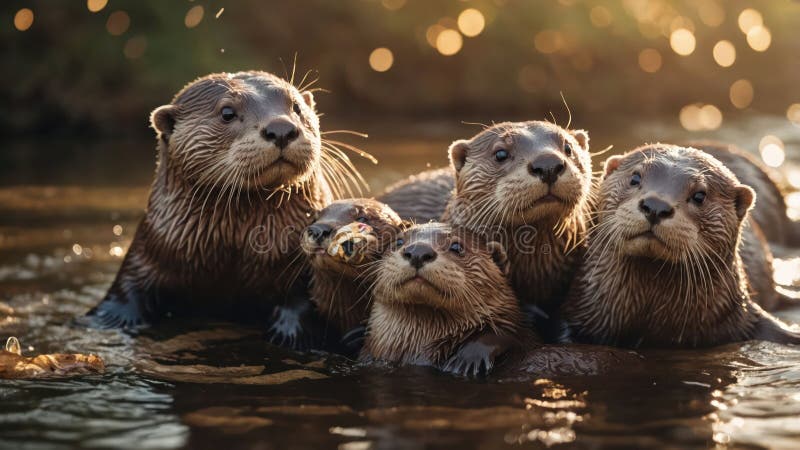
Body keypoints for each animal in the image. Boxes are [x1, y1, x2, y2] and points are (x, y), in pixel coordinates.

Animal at [88, 71, 363, 349]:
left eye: (296, 107)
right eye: (227, 112)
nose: (281, 129)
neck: (232, 255)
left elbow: (303, 302)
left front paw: (291, 334)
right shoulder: (147, 253)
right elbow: (125, 295)